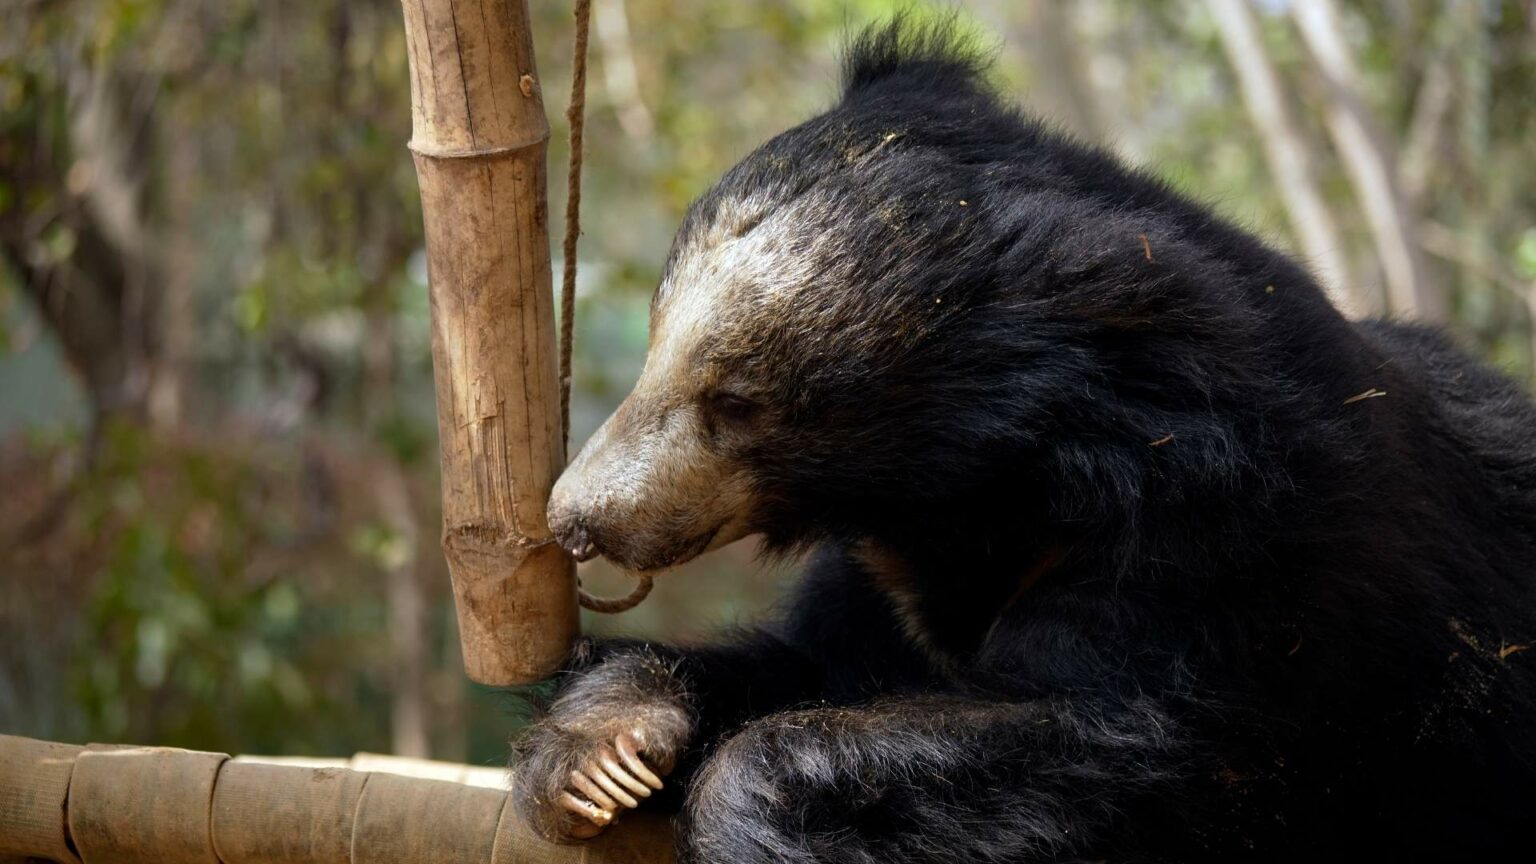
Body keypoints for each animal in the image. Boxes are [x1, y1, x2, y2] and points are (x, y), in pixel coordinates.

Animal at [512, 19, 1536, 863]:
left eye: (733, 400)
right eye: (654, 343)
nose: (574, 520)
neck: (973, 492)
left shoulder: (1235, 569)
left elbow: (1137, 748)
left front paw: (749, 808)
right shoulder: (882, 583)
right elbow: (811, 660)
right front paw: (599, 756)